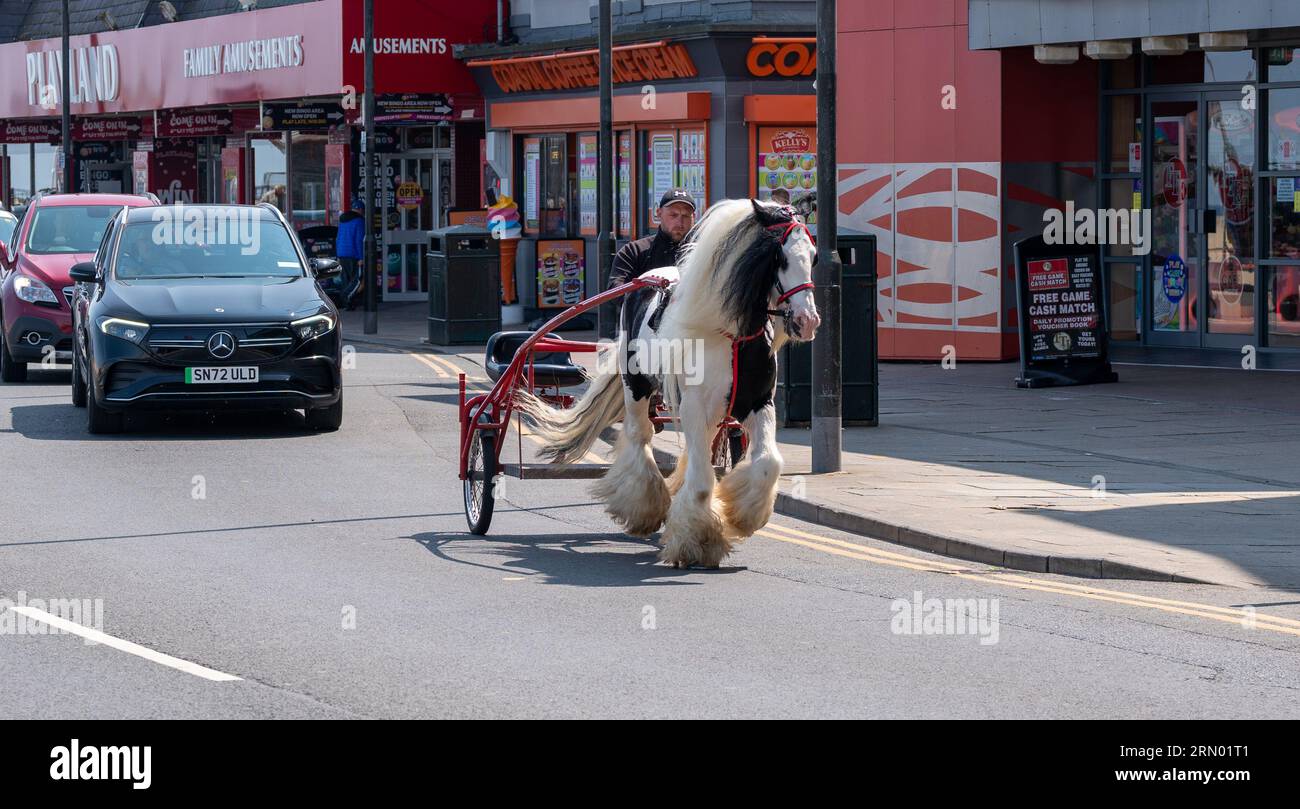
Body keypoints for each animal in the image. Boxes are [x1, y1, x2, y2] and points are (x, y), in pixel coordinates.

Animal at [517, 198, 821, 568]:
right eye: (780, 257)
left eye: (814, 256)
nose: (807, 321)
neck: (730, 334)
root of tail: (651, 278)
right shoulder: (694, 406)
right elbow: (702, 480)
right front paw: (698, 540)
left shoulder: (758, 402)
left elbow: (768, 463)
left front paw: (741, 515)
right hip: (636, 387)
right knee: (640, 435)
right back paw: (644, 506)